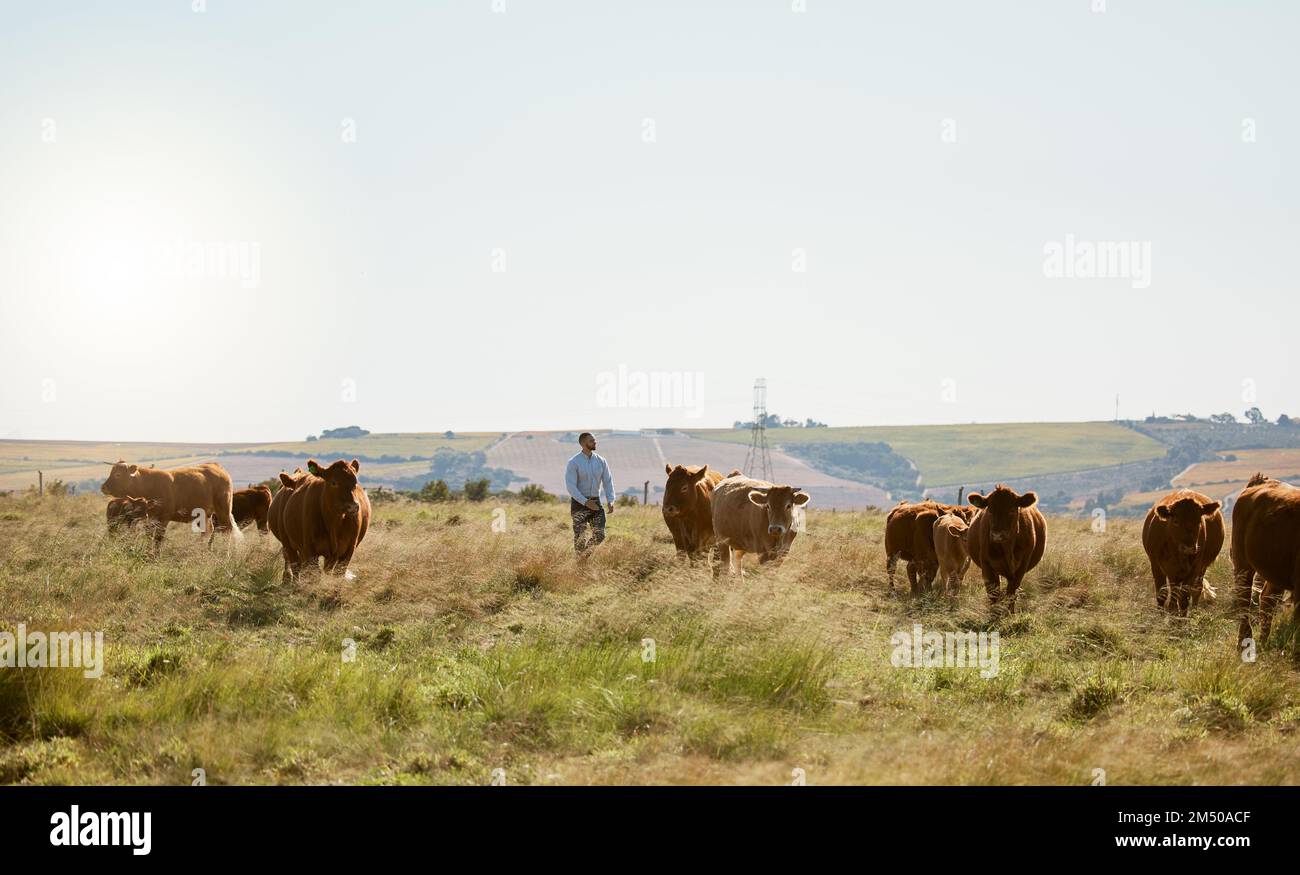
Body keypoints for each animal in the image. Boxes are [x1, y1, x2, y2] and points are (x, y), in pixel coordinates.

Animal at [100, 460, 240, 549]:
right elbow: (150, 537)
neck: (148, 485)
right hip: (205, 514)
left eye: (118, 474)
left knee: (227, 530)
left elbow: (158, 538)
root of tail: (217, 467)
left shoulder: (163, 518)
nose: (103, 487)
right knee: (207, 531)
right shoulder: (149, 519)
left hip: (223, 509)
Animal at [965, 485, 1046, 614]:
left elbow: (1011, 592)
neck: (1007, 547)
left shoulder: (1022, 565)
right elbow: (993, 593)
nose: (998, 535)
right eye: (990, 510)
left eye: (1011, 510)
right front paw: (994, 613)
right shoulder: (986, 565)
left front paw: (1010, 613)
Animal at [1231, 473, 1300, 644]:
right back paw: (1244, 641)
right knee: (1244, 599)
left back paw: (1263, 640)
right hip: (1242, 564)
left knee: (1267, 599)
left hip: (1275, 572)